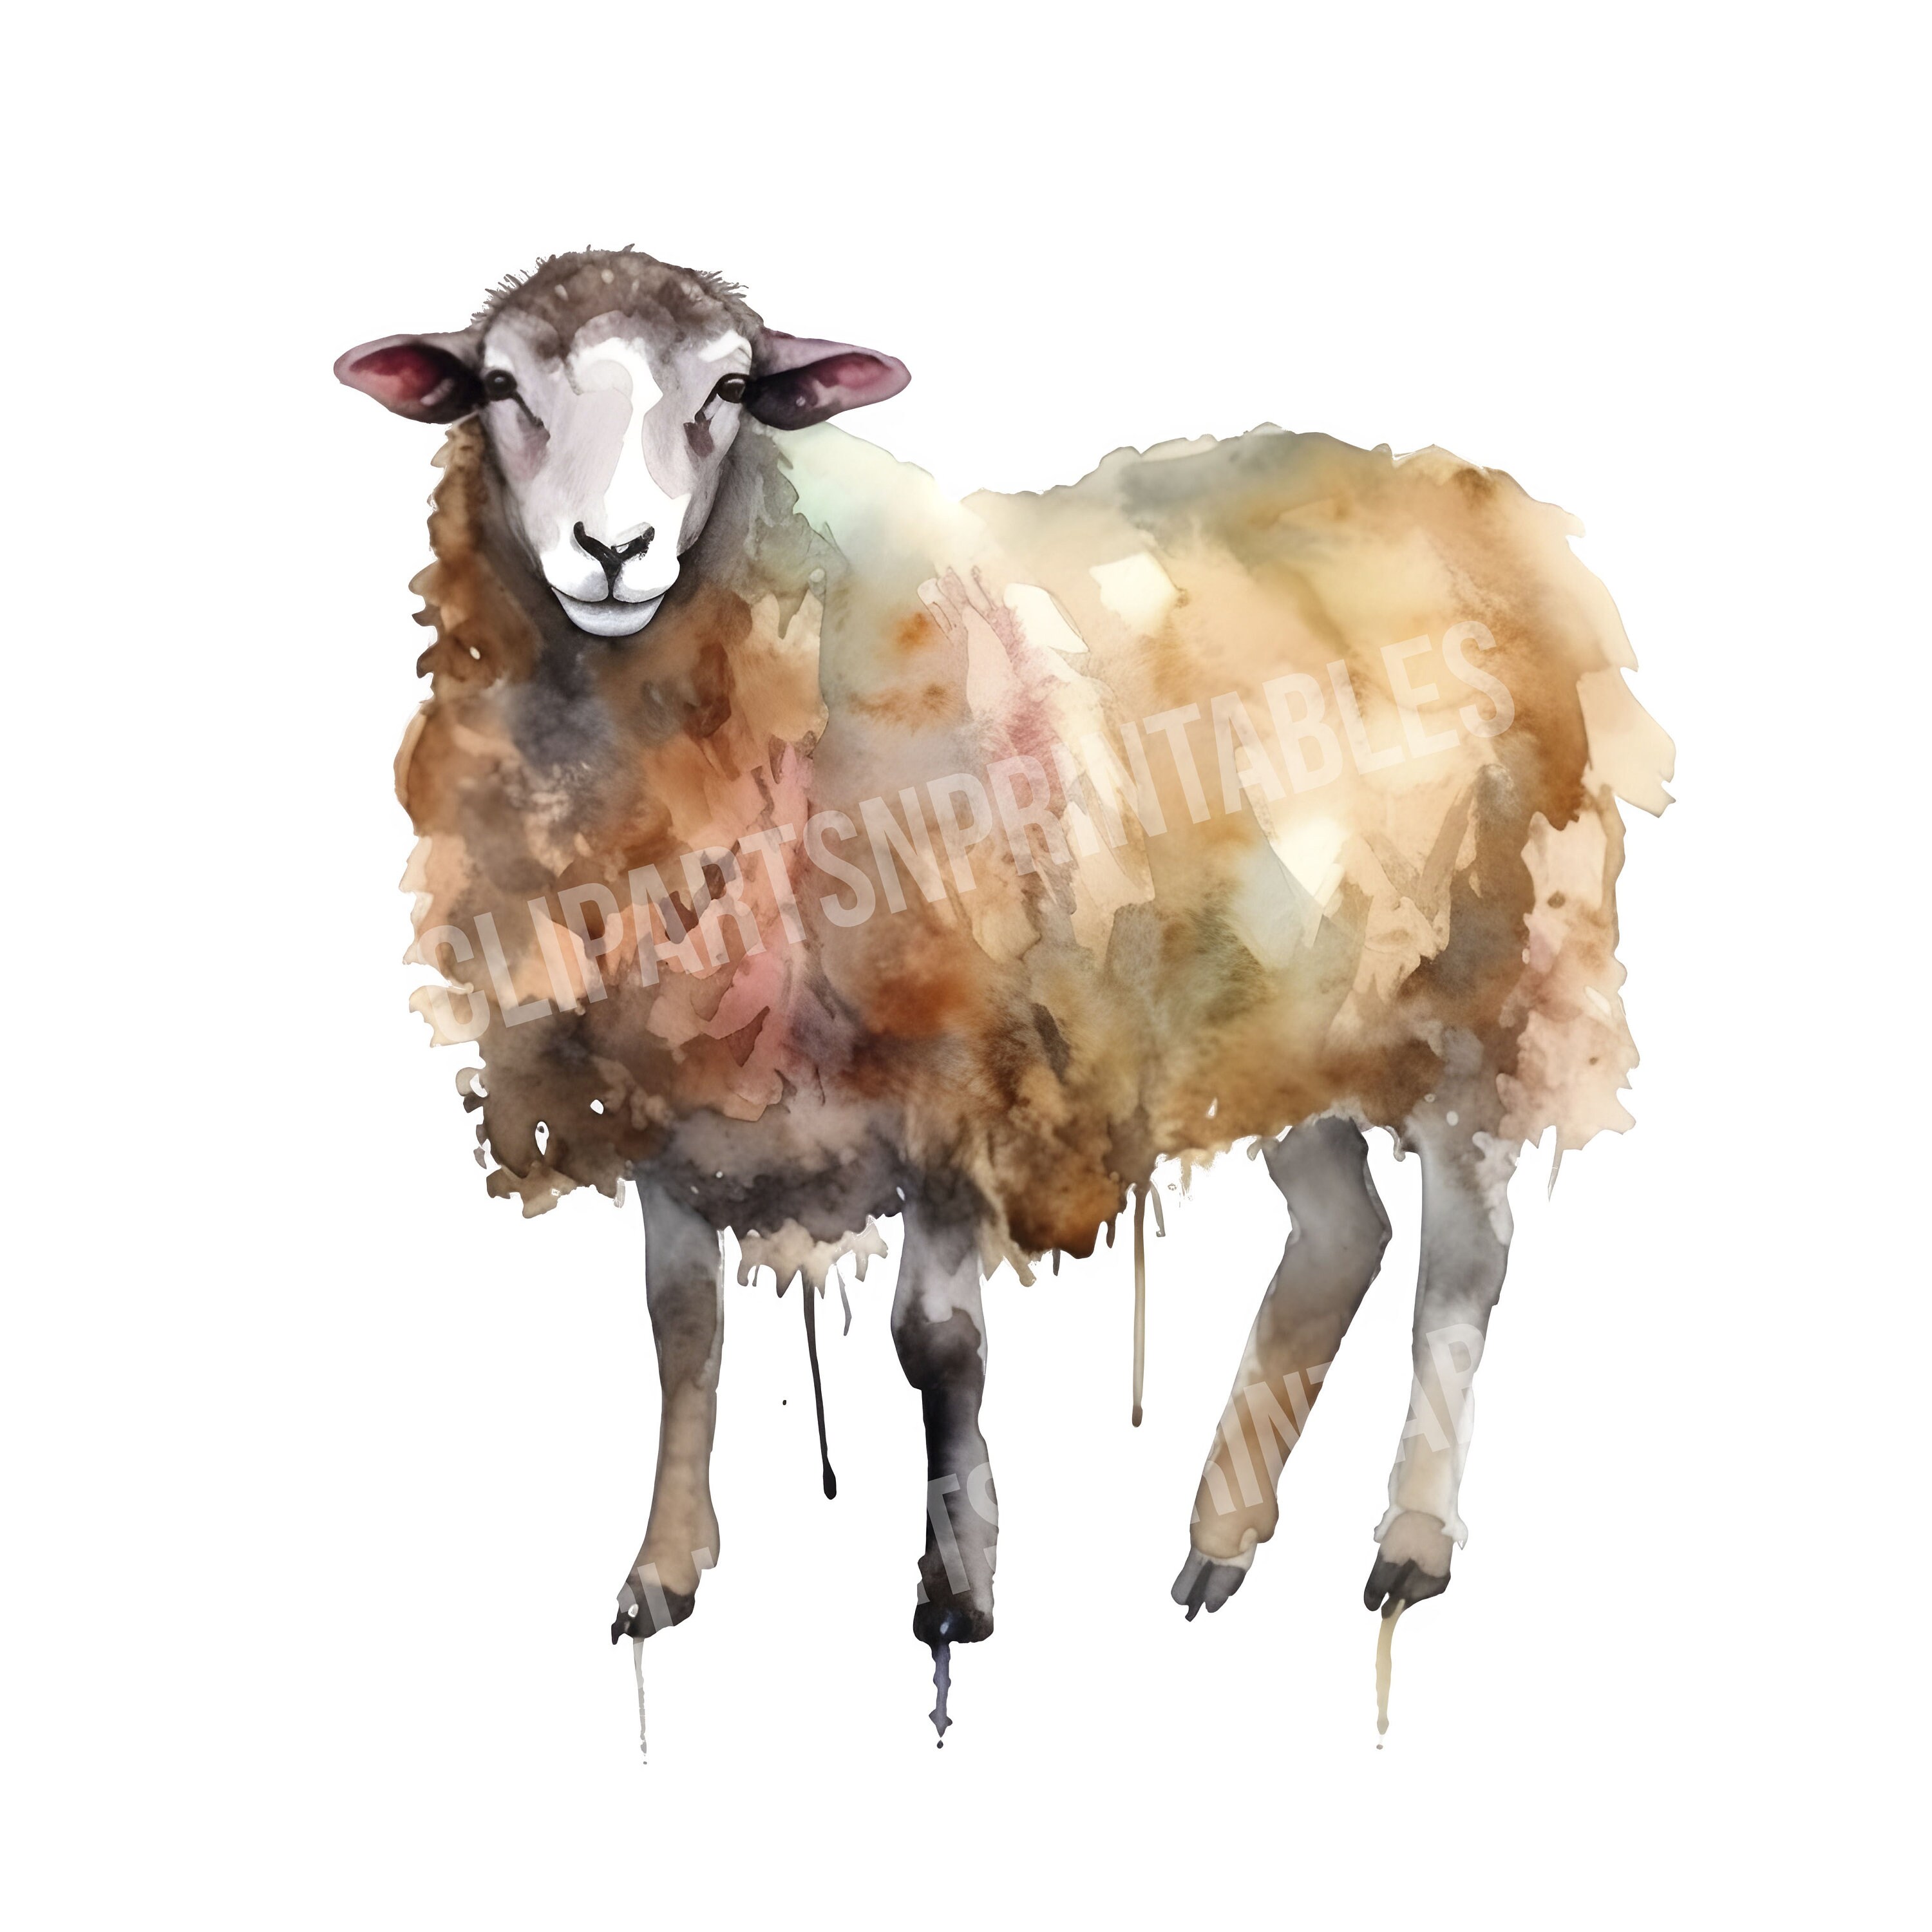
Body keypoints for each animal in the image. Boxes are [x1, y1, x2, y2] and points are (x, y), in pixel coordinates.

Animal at [337, 247, 1673, 1736]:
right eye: (504, 386)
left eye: (729, 391)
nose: (614, 551)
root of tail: (1467, 491)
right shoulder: (671, 1091)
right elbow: (681, 1334)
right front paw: (660, 1574)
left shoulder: (962, 1076)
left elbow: (937, 1347)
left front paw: (954, 1595)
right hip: (1269, 1017)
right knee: (1344, 1236)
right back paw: (1218, 1541)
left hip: (1484, 977)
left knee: (1465, 1255)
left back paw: (1409, 1545)